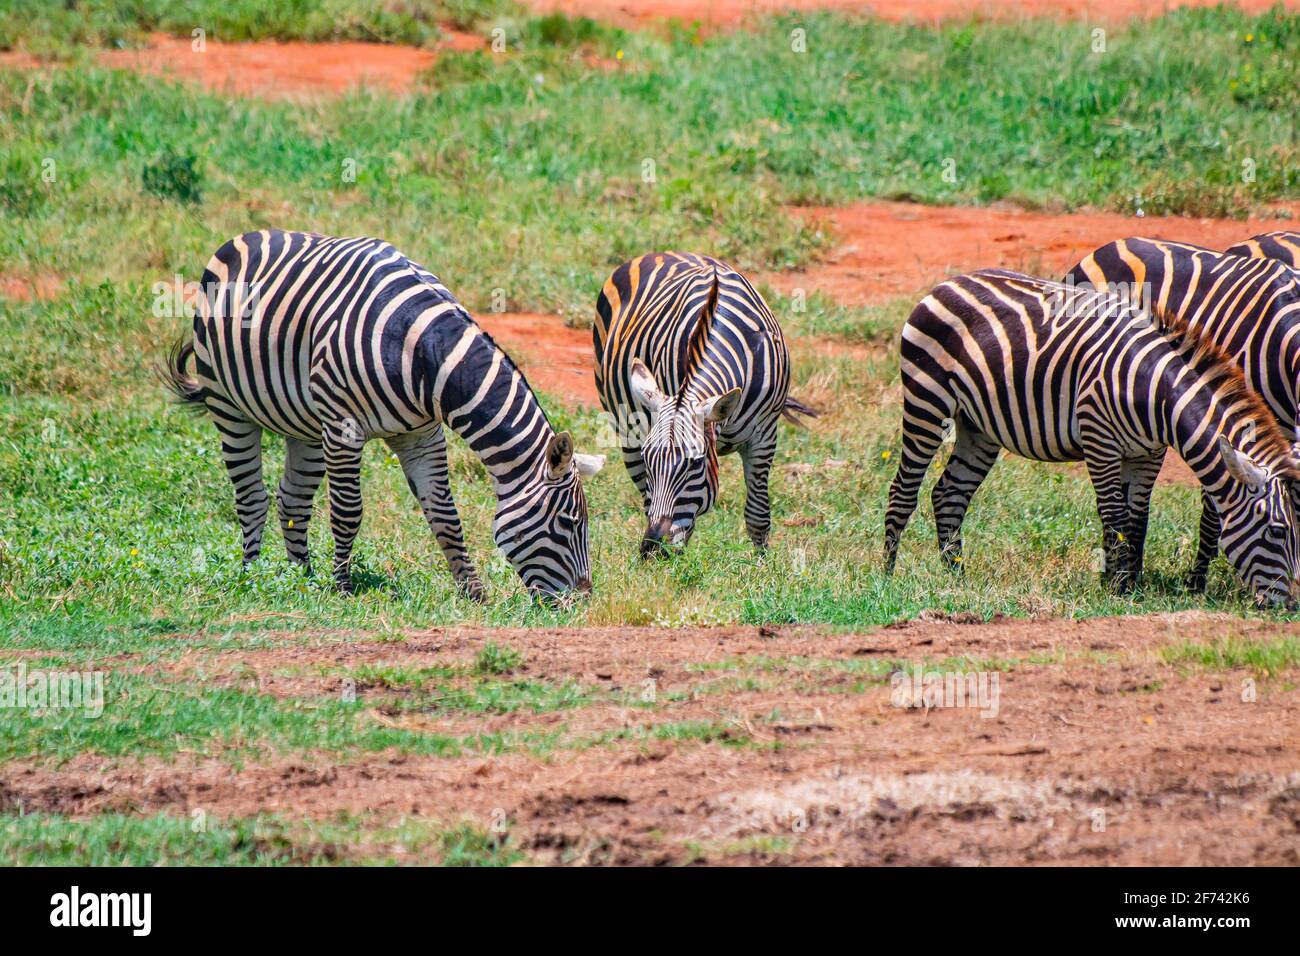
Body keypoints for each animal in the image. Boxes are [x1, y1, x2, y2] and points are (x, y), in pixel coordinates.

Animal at [159, 229, 604, 599]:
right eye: (568, 522)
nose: (581, 601)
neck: (424, 355)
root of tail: (244, 236)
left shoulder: (421, 434)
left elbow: (445, 514)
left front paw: (473, 592)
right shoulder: (343, 429)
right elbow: (348, 511)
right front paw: (342, 587)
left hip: (304, 424)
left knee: (293, 500)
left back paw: (301, 577)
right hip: (228, 405)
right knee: (252, 497)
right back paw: (252, 575)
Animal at [593, 252, 814, 557]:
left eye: (695, 463)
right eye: (649, 459)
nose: (652, 549)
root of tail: (663, 252)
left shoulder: (765, 435)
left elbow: (758, 516)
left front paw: (763, 563)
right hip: (627, 428)